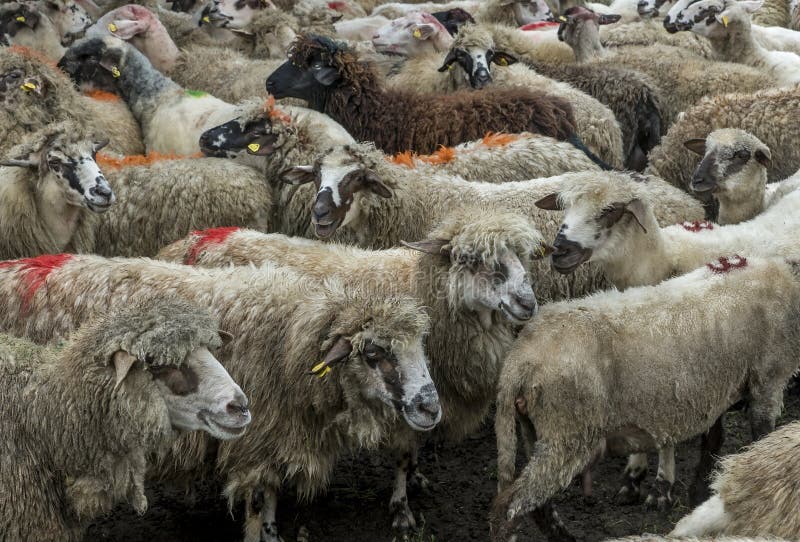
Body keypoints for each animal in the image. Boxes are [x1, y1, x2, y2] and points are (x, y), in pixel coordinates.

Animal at [157, 209, 549, 532]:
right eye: (471, 260)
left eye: (522, 257)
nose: (527, 302)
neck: (416, 282)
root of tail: (196, 238)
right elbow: (404, 453)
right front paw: (401, 508)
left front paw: (416, 479)